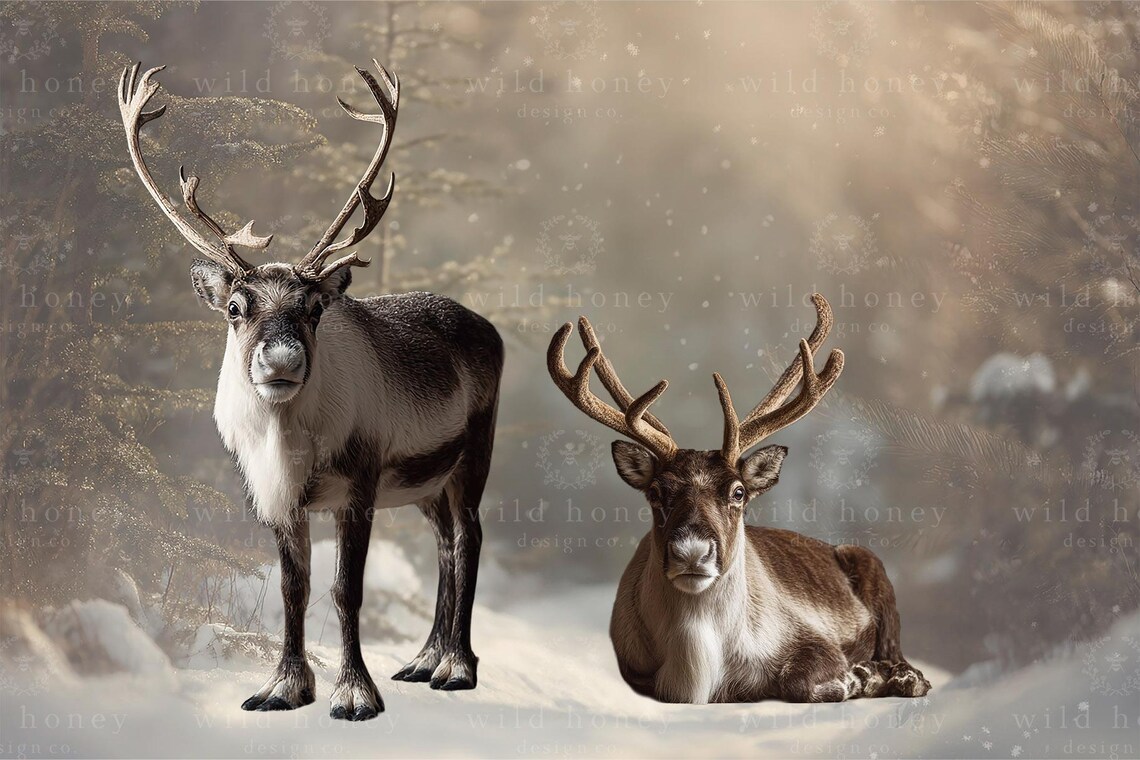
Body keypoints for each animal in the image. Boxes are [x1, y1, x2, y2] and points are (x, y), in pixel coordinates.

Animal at [118, 61, 503, 720]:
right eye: (235, 308)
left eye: (316, 307)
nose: (281, 359)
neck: (291, 444)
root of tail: (490, 328)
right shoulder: (275, 495)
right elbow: (293, 588)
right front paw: (284, 687)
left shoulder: (361, 483)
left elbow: (346, 590)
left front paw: (354, 695)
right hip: (428, 481)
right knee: (444, 544)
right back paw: (424, 660)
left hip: (473, 452)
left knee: (469, 536)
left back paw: (456, 667)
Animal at [547, 295, 931, 704]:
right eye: (655, 491)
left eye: (738, 491)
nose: (692, 552)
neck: (698, 669)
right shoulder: (631, 663)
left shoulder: (815, 638)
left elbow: (799, 680)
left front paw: (858, 677)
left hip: (875, 574)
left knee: (905, 662)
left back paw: (896, 677)